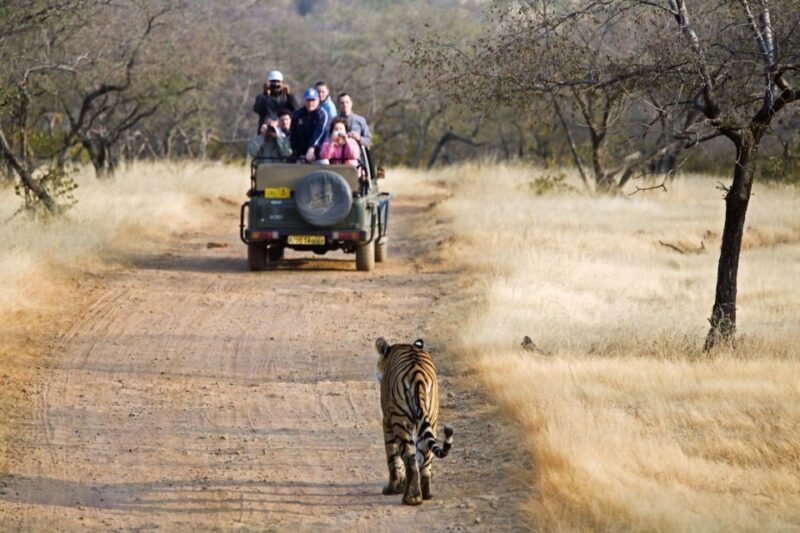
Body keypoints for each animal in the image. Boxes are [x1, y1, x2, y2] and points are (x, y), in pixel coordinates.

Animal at [375, 337, 454, 505]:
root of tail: (418, 376)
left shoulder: (387, 420)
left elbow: (392, 456)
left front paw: (392, 488)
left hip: (401, 421)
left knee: (410, 460)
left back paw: (411, 499)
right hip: (431, 418)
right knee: (425, 459)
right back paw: (425, 494)